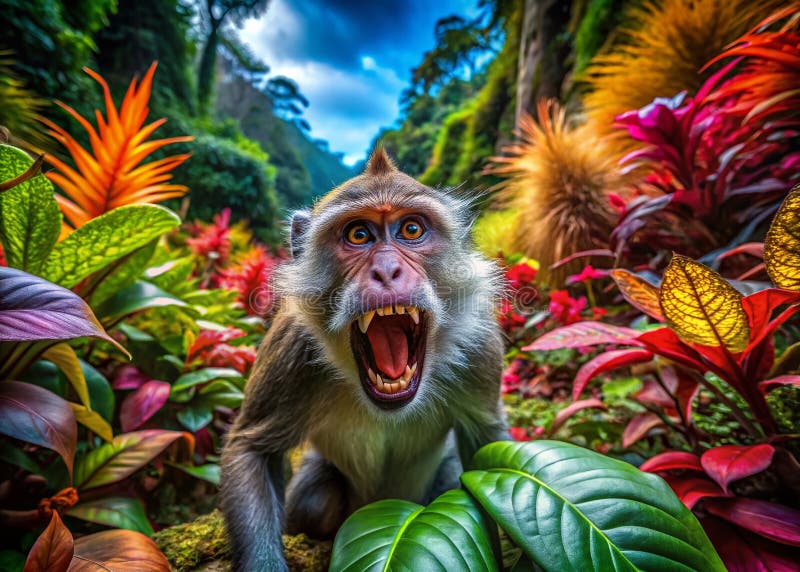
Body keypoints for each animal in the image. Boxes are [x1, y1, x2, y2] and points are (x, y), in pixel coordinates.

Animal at [219, 147, 508, 571]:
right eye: (358, 235)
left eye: (411, 230)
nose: (387, 270)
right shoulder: (293, 343)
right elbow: (252, 450)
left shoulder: (479, 342)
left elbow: (487, 437)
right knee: (315, 502)